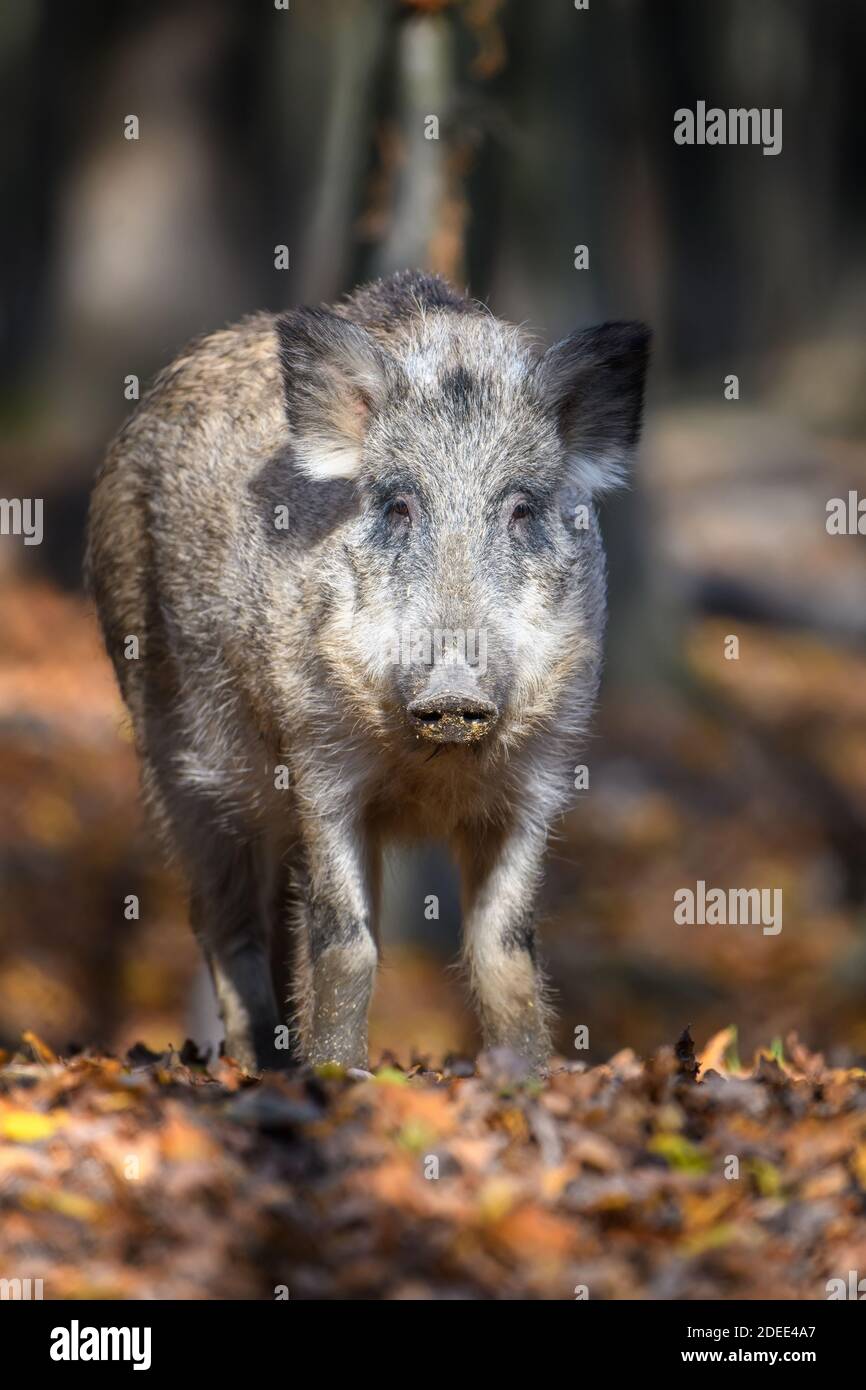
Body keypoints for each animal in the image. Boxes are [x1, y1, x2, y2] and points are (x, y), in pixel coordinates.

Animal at [86, 270, 650, 1073]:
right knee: (224, 921)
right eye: (398, 505)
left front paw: (527, 1077)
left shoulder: (542, 769)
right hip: (173, 755)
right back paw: (261, 1067)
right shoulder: (319, 760)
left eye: (521, 509)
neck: (430, 769)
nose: (455, 688)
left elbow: (505, 946)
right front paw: (337, 1073)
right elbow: (345, 939)